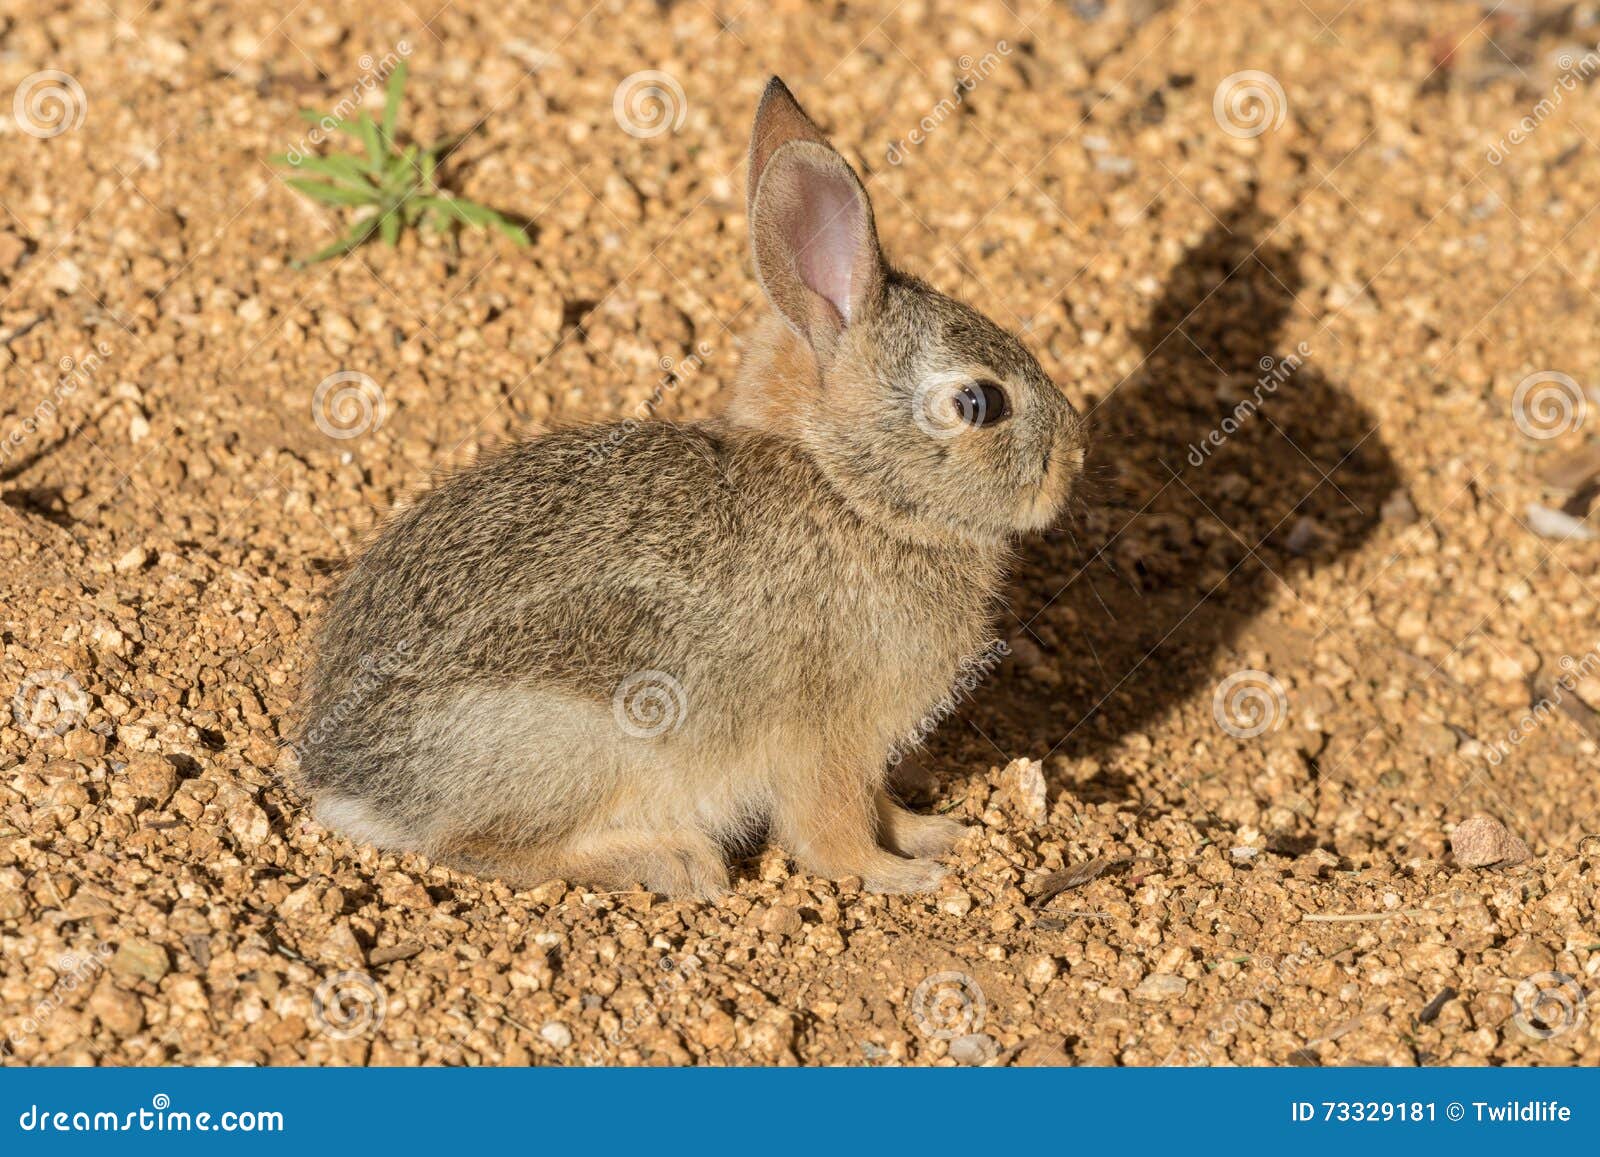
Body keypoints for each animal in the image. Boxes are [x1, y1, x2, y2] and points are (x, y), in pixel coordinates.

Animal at [294, 77, 1088, 899]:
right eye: (980, 402)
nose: (1073, 458)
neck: (849, 490)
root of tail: (350, 782)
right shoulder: (826, 738)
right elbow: (833, 834)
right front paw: (906, 877)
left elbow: (882, 806)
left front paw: (938, 834)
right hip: (574, 742)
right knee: (481, 845)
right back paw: (674, 859)